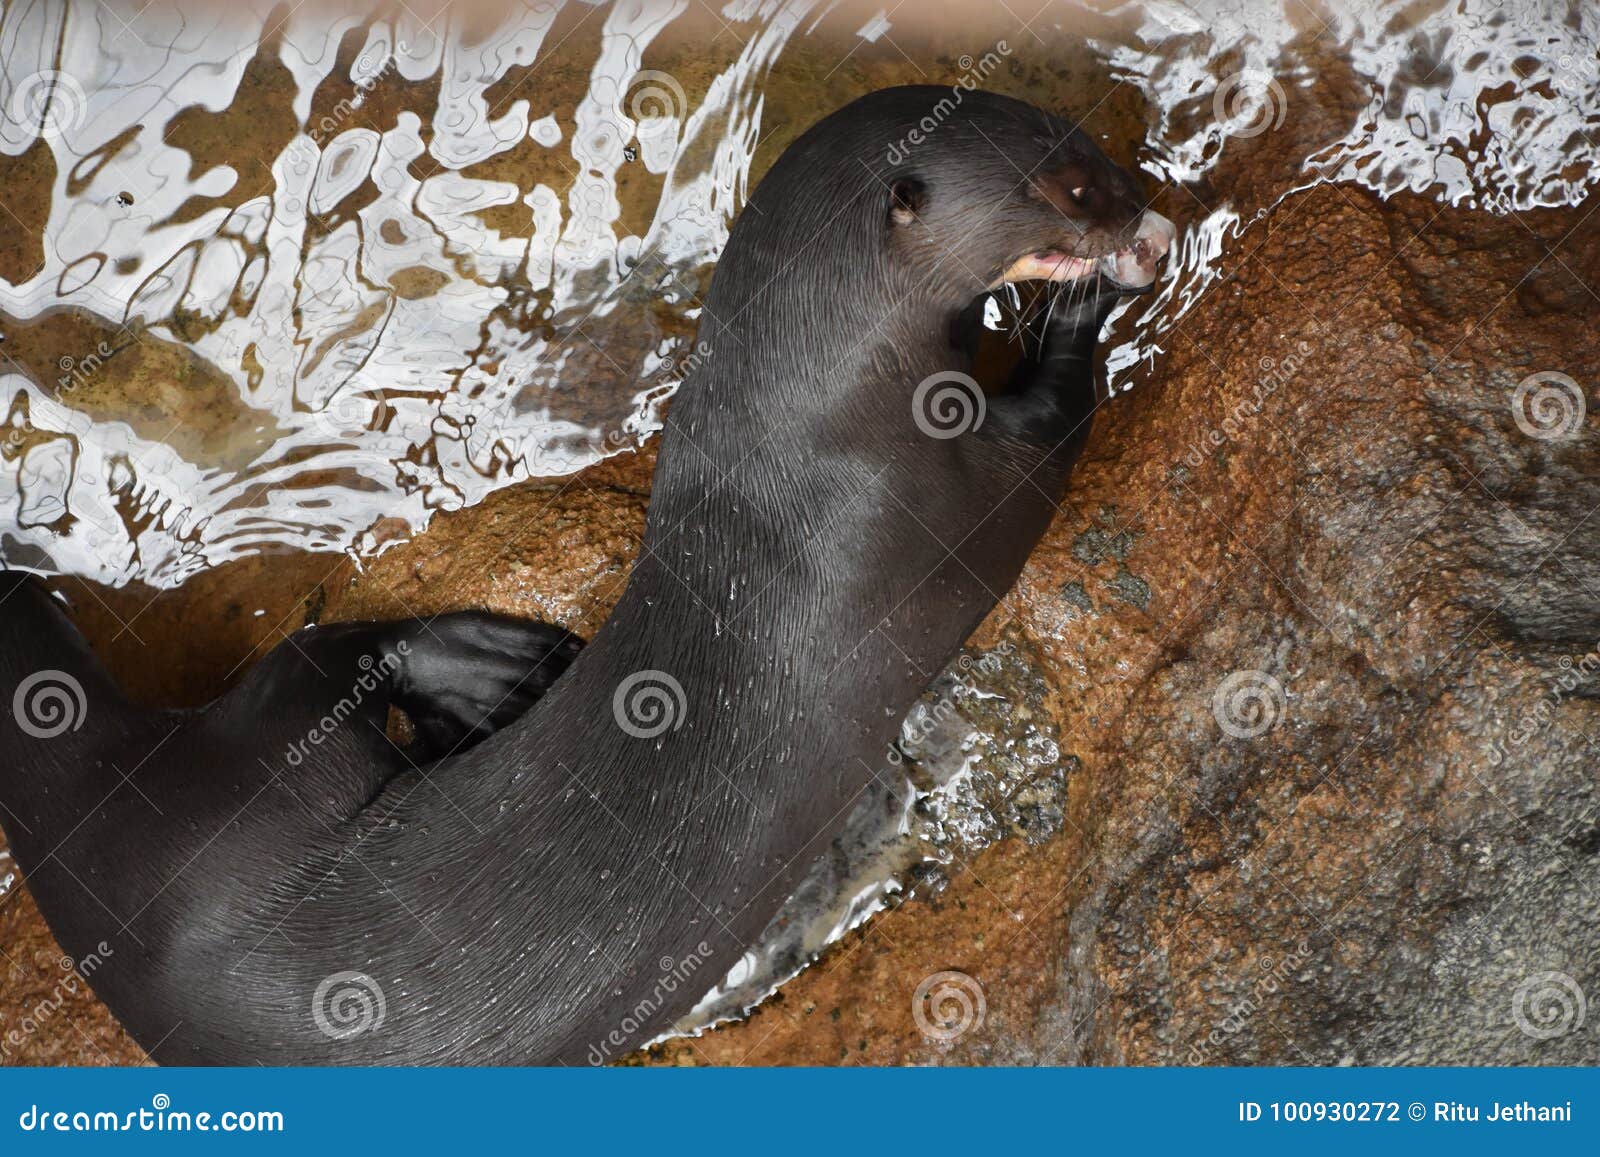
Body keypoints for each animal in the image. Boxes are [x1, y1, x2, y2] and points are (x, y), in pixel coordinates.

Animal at [0, 86, 1172, 1063]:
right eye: (1071, 189)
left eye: (1085, 138)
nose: (1151, 220)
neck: (810, 426)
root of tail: (88, 824)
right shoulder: (944, 502)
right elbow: (1051, 431)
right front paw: (1084, 312)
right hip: (240, 794)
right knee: (309, 667)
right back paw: (492, 660)